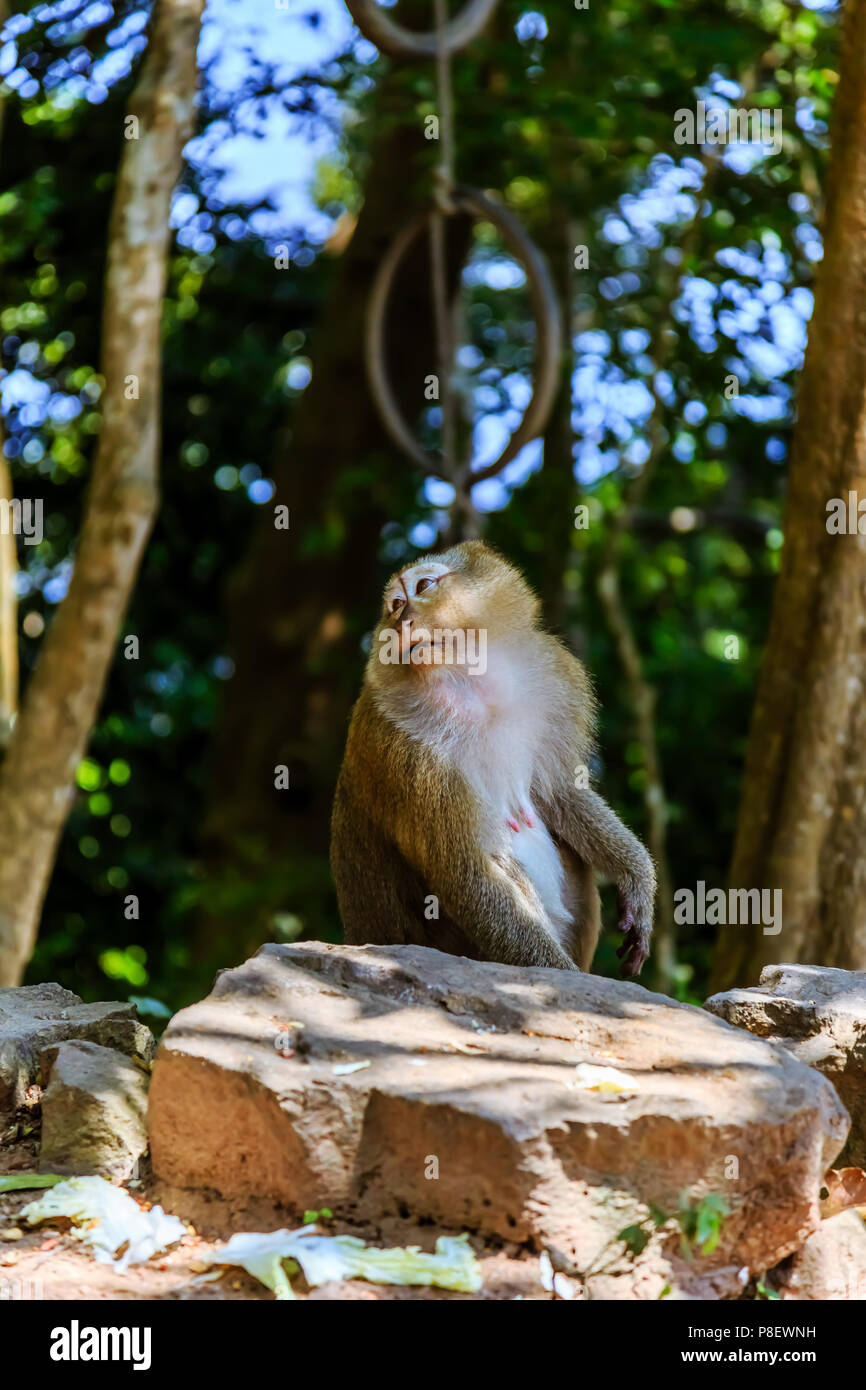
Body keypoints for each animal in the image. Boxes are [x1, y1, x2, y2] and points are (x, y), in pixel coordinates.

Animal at [330, 540, 655, 977]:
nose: (402, 623)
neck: (469, 685)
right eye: (395, 605)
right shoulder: (401, 743)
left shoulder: (552, 680)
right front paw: (558, 981)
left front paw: (637, 880)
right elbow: (468, 874)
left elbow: (561, 793)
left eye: (424, 586)